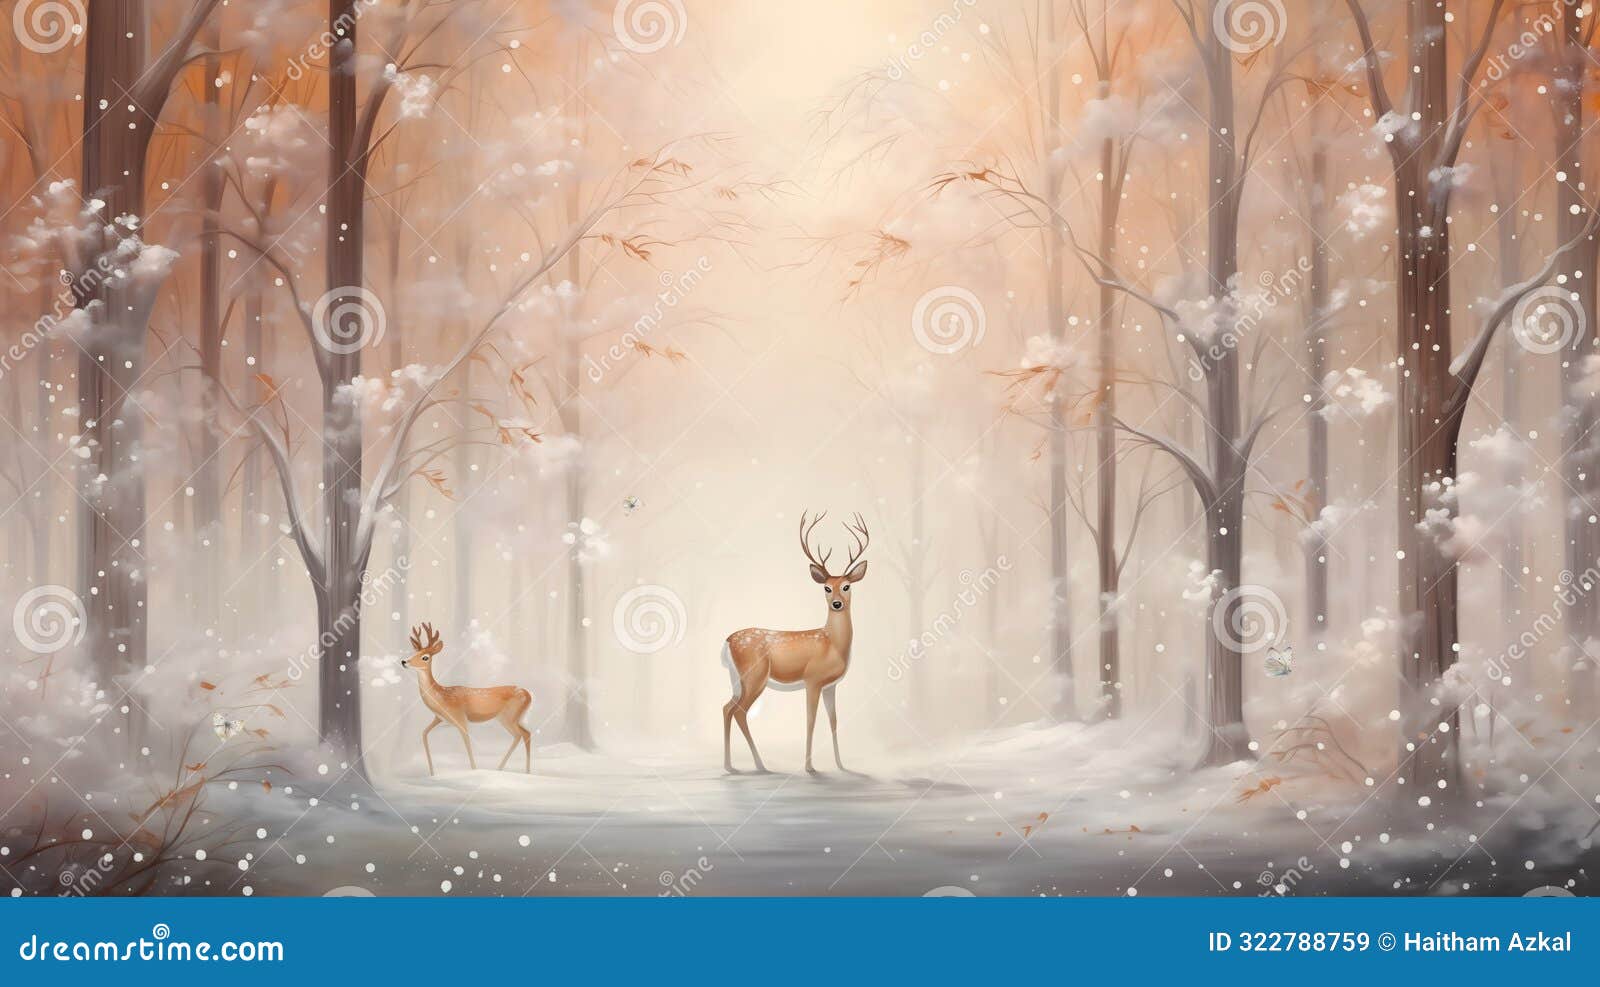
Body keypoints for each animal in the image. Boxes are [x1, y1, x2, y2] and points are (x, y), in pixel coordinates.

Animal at [401, 623, 533, 775]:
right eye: (413, 653)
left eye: (425, 657)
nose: (404, 661)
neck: (442, 697)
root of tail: (529, 694)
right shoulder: (440, 719)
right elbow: (424, 733)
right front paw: (432, 773)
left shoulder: (460, 718)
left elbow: (468, 745)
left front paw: (474, 770)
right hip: (507, 718)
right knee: (523, 734)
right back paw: (507, 769)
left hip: (510, 716)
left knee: (523, 734)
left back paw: (521, 771)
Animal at [721, 511, 869, 774]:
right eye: (826, 588)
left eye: (846, 586)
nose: (837, 603)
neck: (832, 644)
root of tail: (728, 640)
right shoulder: (813, 680)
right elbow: (810, 720)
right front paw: (810, 767)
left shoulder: (831, 685)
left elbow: (833, 720)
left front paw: (840, 765)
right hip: (755, 675)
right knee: (739, 711)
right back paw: (759, 765)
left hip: (738, 679)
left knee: (726, 708)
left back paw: (731, 765)